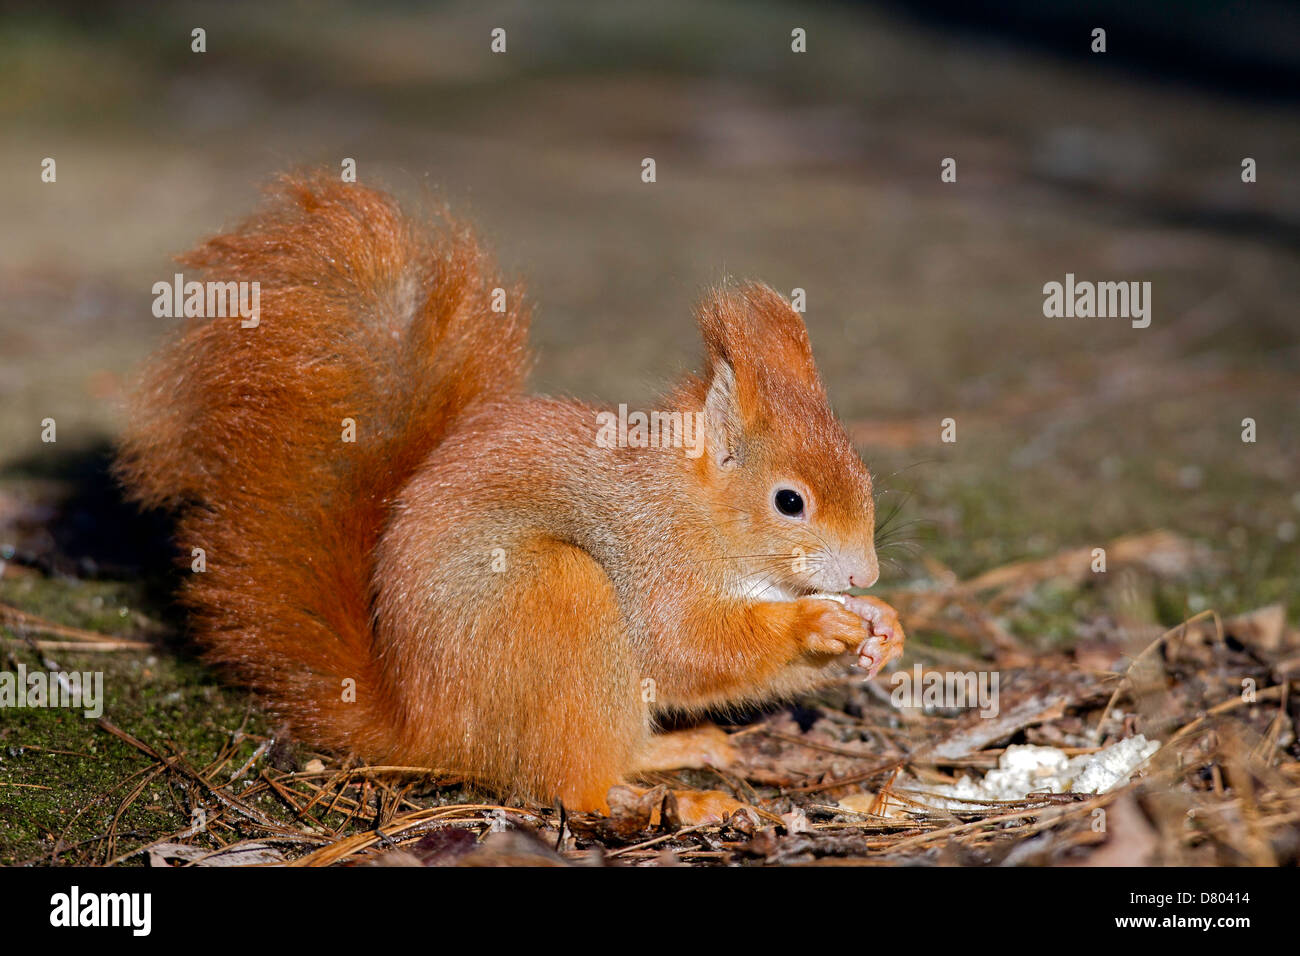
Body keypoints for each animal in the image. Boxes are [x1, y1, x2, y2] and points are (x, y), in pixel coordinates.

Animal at [116, 172, 905, 825]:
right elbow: (687, 646)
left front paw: (881, 626)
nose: (864, 574)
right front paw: (816, 623)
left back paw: (680, 753)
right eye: (789, 502)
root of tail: (423, 724)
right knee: (573, 785)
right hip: (560, 601)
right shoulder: (653, 553)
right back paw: (675, 800)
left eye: (867, 479)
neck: (703, 512)